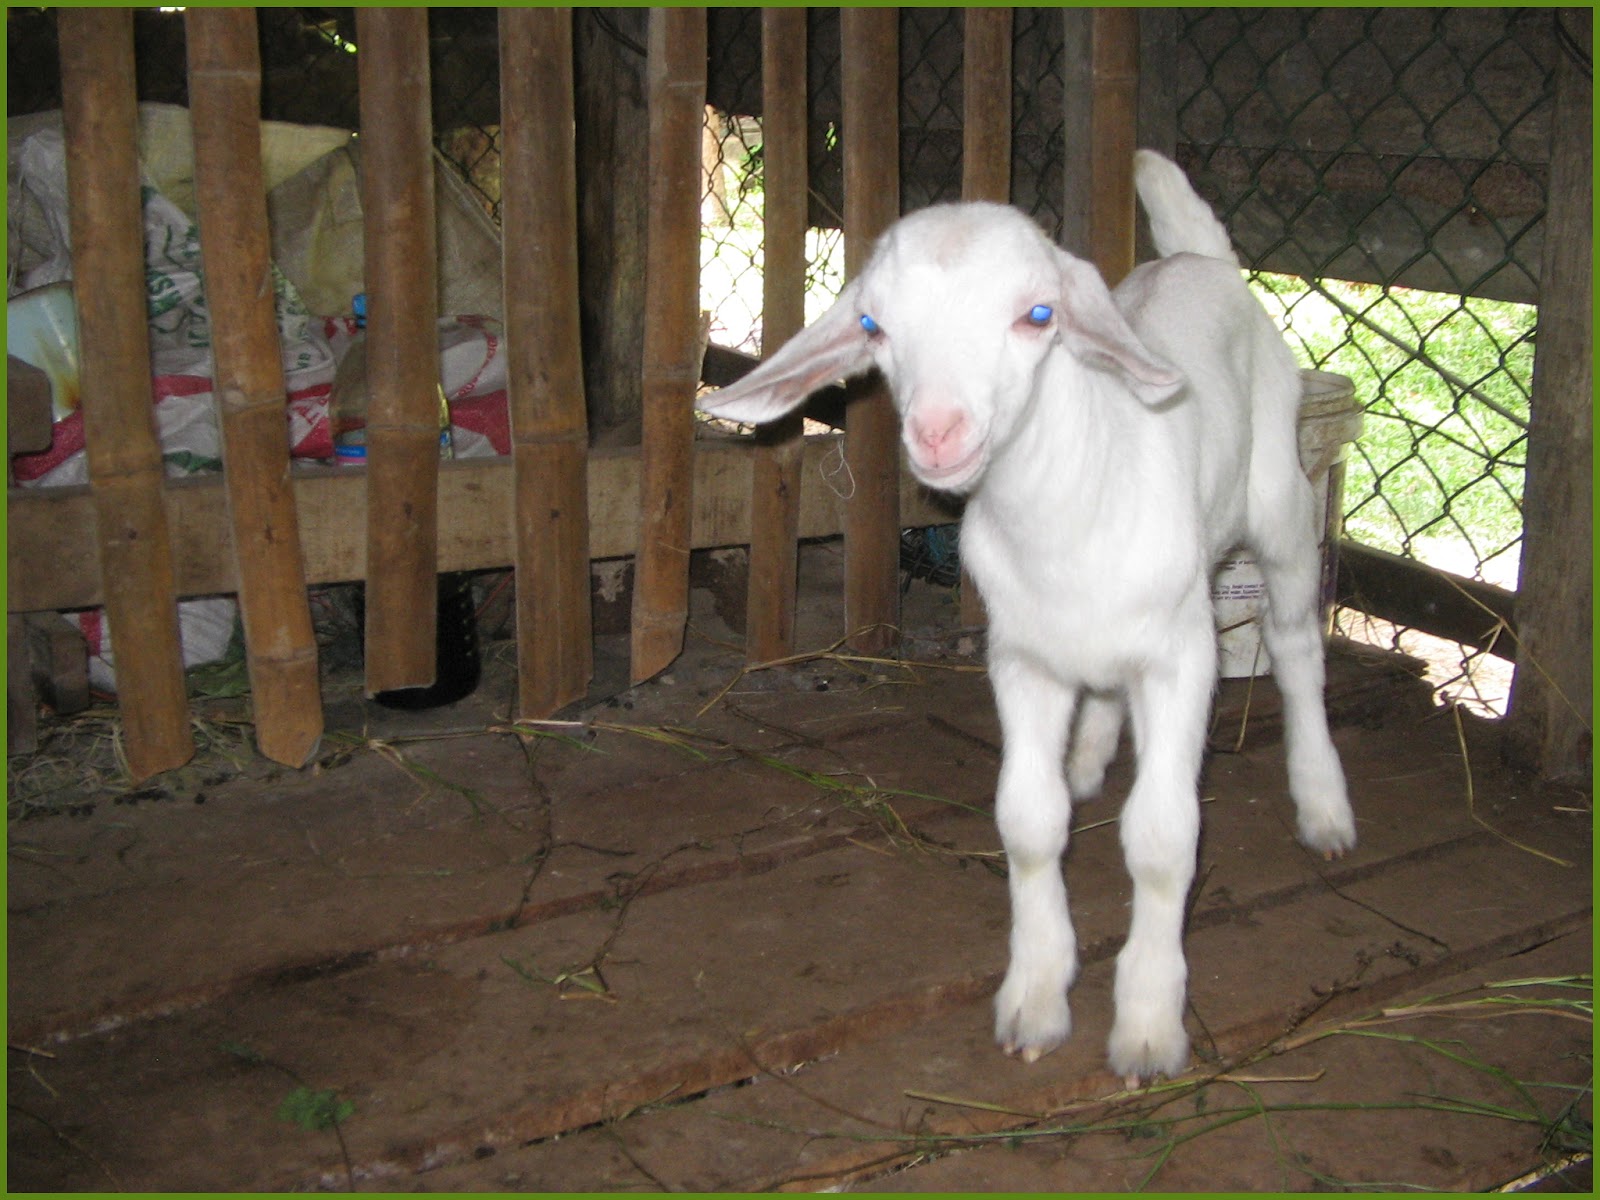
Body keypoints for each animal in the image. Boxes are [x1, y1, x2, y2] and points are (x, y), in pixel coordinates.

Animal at [697, 150, 1355, 1085]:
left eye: (1038, 314)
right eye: (873, 326)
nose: (939, 433)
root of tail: (1203, 262)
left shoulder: (1181, 656)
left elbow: (1164, 837)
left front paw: (1148, 1024)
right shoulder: (1021, 661)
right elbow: (1029, 822)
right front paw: (1037, 997)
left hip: (1283, 511)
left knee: (1299, 650)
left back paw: (1324, 805)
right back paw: (1088, 758)